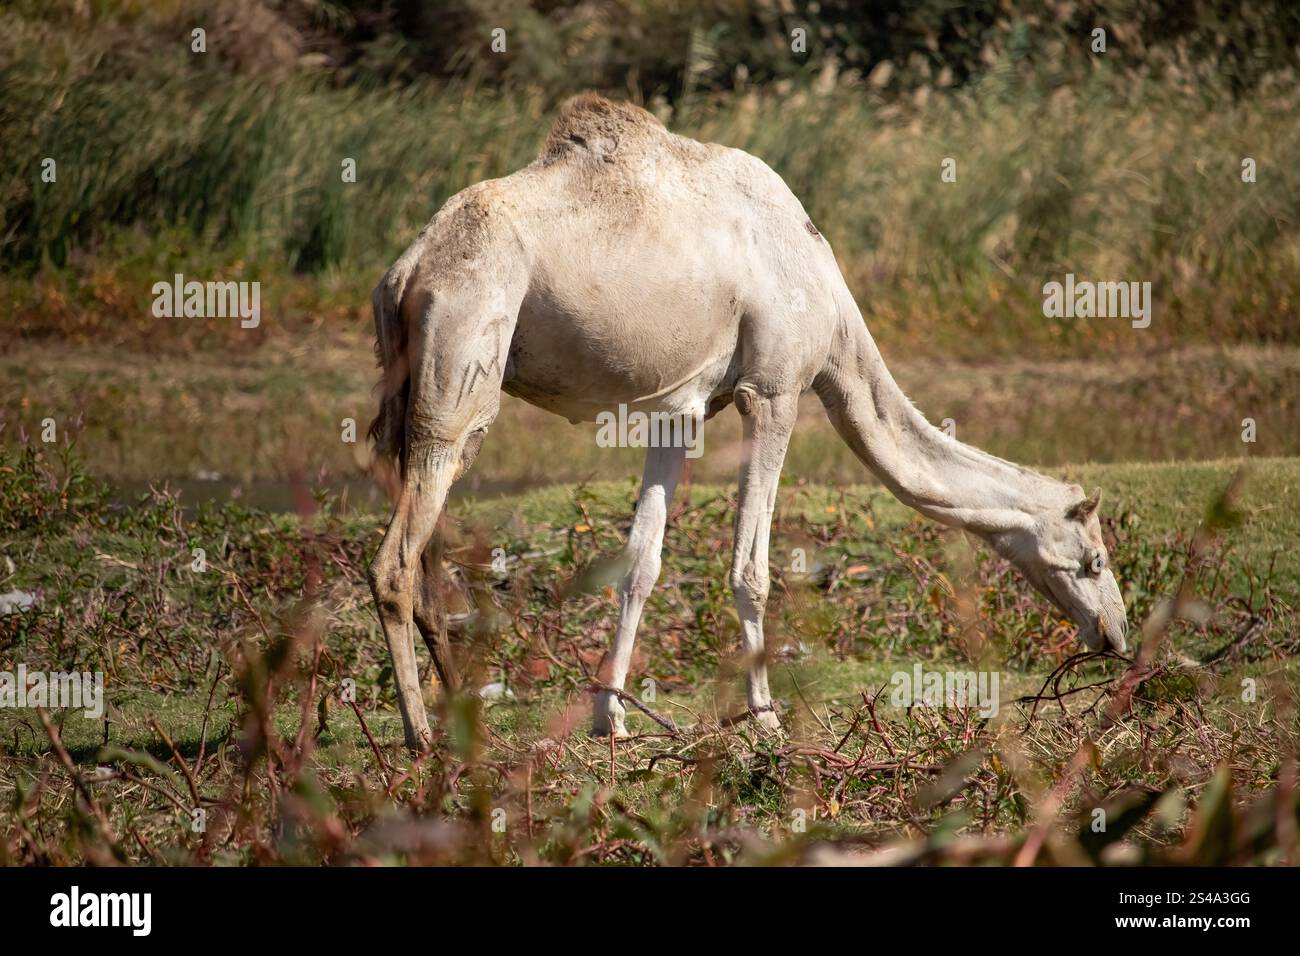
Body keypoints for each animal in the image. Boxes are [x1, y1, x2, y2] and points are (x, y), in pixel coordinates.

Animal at [367, 94, 1128, 750]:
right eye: (1094, 560)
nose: (1116, 633)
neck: (834, 318)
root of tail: (406, 272)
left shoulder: (677, 415)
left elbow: (641, 563)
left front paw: (612, 720)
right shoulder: (775, 390)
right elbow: (751, 569)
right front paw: (766, 718)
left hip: (422, 394)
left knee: (424, 546)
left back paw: (465, 719)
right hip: (464, 359)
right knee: (396, 561)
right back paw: (421, 736)